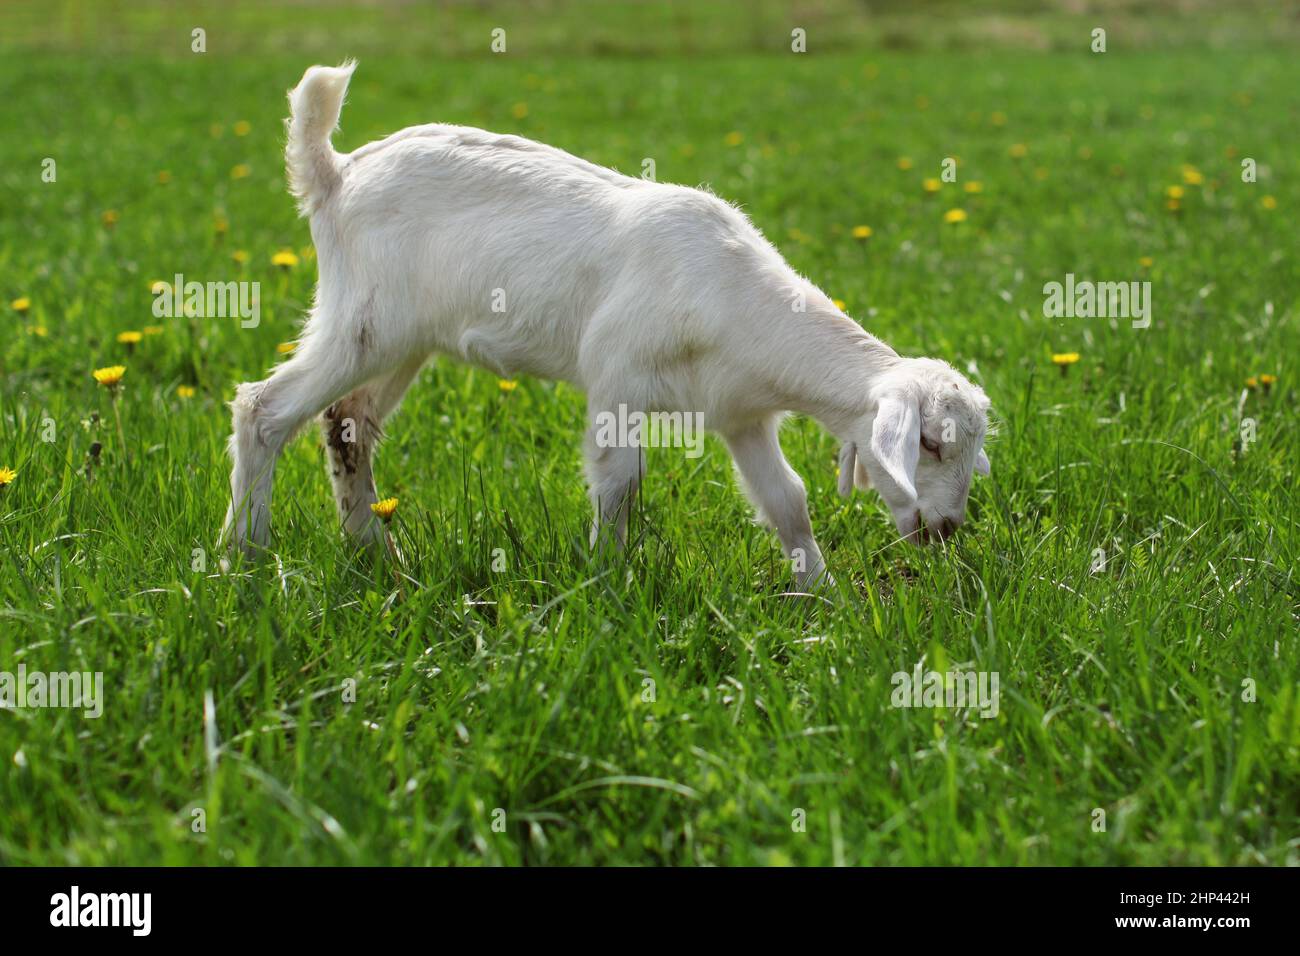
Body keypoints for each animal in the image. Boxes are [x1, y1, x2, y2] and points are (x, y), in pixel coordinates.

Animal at [221, 62, 993, 587]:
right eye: (927, 442)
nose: (946, 530)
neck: (732, 296)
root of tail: (336, 172)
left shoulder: (741, 413)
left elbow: (788, 502)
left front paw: (823, 599)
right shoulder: (618, 378)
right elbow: (620, 484)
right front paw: (607, 589)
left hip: (402, 340)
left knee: (348, 422)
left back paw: (373, 553)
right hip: (361, 320)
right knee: (263, 410)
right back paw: (244, 557)